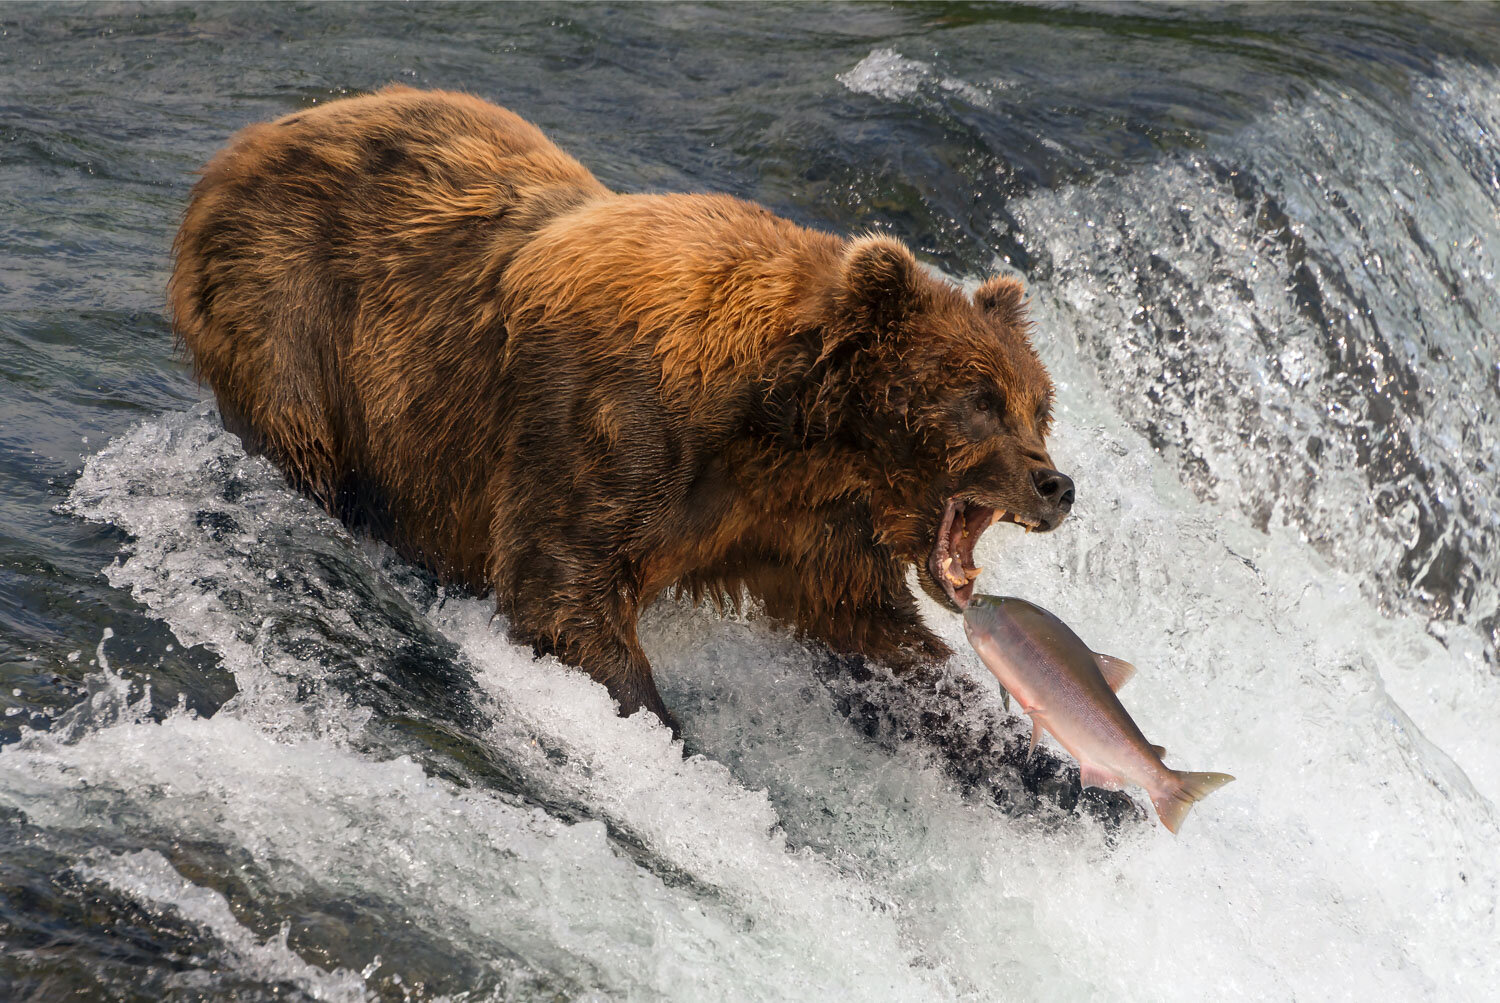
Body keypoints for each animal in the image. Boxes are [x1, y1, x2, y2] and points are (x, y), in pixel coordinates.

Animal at [169, 85, 1074, 733]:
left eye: (1039, 406)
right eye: (979, 399)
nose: (1057, 485)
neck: (785, 424)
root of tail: (244, 143)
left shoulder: (795, 521)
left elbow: (877, 629)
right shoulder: (610, 426)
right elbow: (563, 591)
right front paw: (663, 727)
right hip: (292, 313)